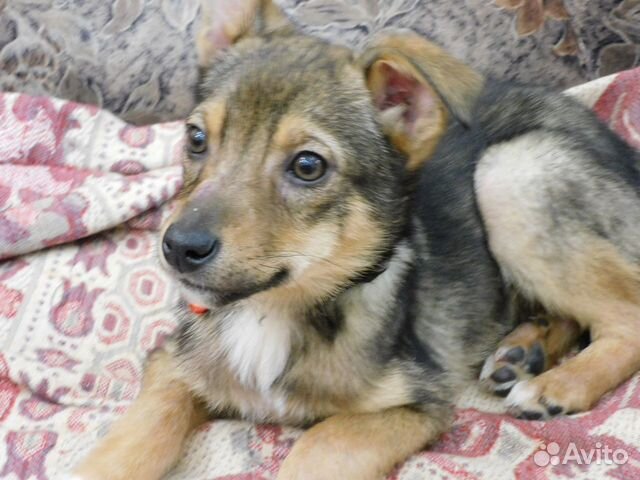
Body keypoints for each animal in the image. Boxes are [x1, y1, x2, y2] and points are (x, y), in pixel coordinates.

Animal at [71, 0, 640, 479]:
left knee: (625, 314)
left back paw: (555, 385)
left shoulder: (415, 402)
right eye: (195, 139)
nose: (179, 248)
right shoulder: (173, 363)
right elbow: (137, 433)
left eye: (308, 166)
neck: (272, 312)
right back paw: (522, 351)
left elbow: (321, 445)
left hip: (511, 171)